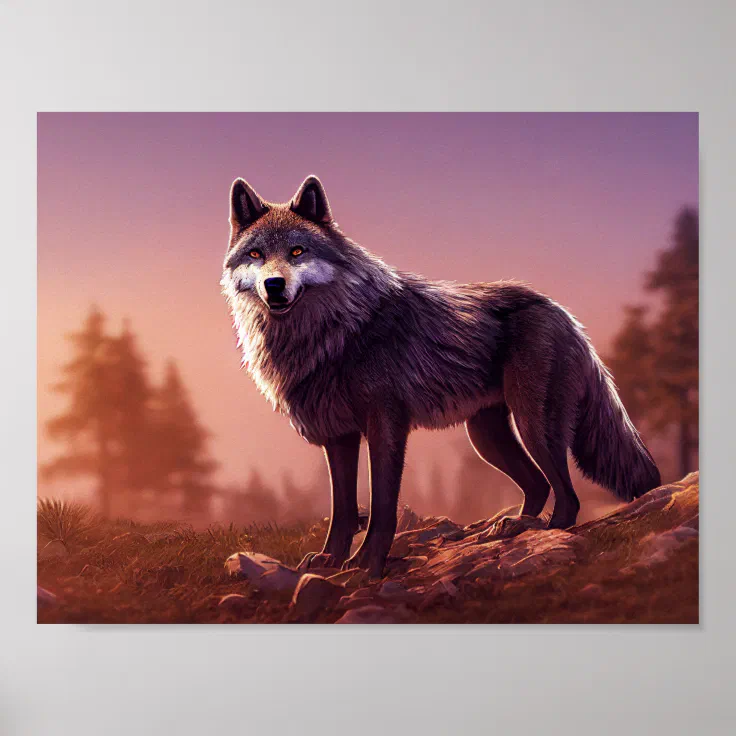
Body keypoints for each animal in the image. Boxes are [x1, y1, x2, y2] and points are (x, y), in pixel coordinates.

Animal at [221, 175, 661, 577]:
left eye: (297, 251)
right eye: (257, 254)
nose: (274, 285)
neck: (333, 334)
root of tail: (561, 312)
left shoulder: (385, 425)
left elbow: (381, 506)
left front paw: (367, 564)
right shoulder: (338, 435)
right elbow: (342, 509)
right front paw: (331, 559)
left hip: (533, 426)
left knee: (568, 497)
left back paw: (542, 535)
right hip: (486, 437)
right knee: (538, 485)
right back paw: (508, 528)